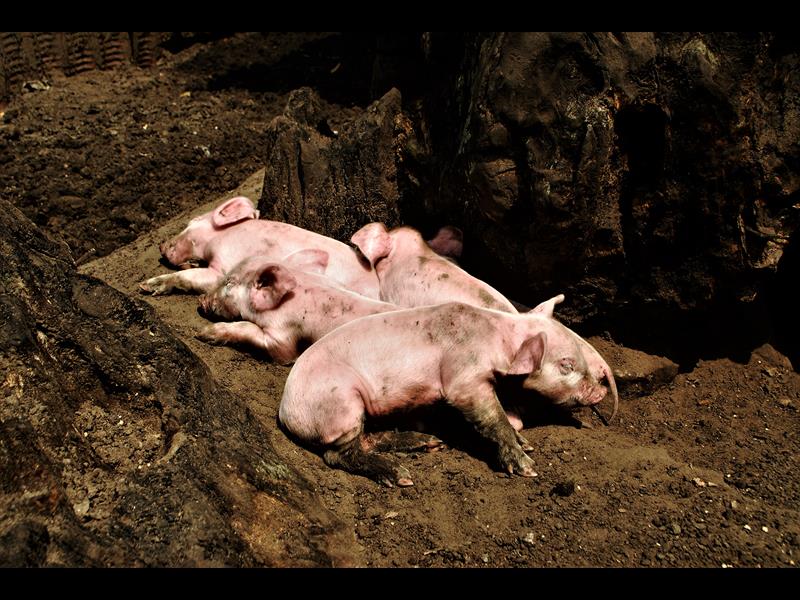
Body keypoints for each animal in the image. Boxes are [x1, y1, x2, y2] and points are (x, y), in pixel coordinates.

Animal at [279, 296, 619, 487]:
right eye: (566, 365)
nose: (600, 391)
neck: (498, 342)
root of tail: (285, 411)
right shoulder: (463, 378)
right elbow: (491, 417)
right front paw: (528, 467)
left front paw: (527, 444)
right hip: (340, 402)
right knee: (338, 454)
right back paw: (402, 477)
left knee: (370, 438)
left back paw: (429, 443)